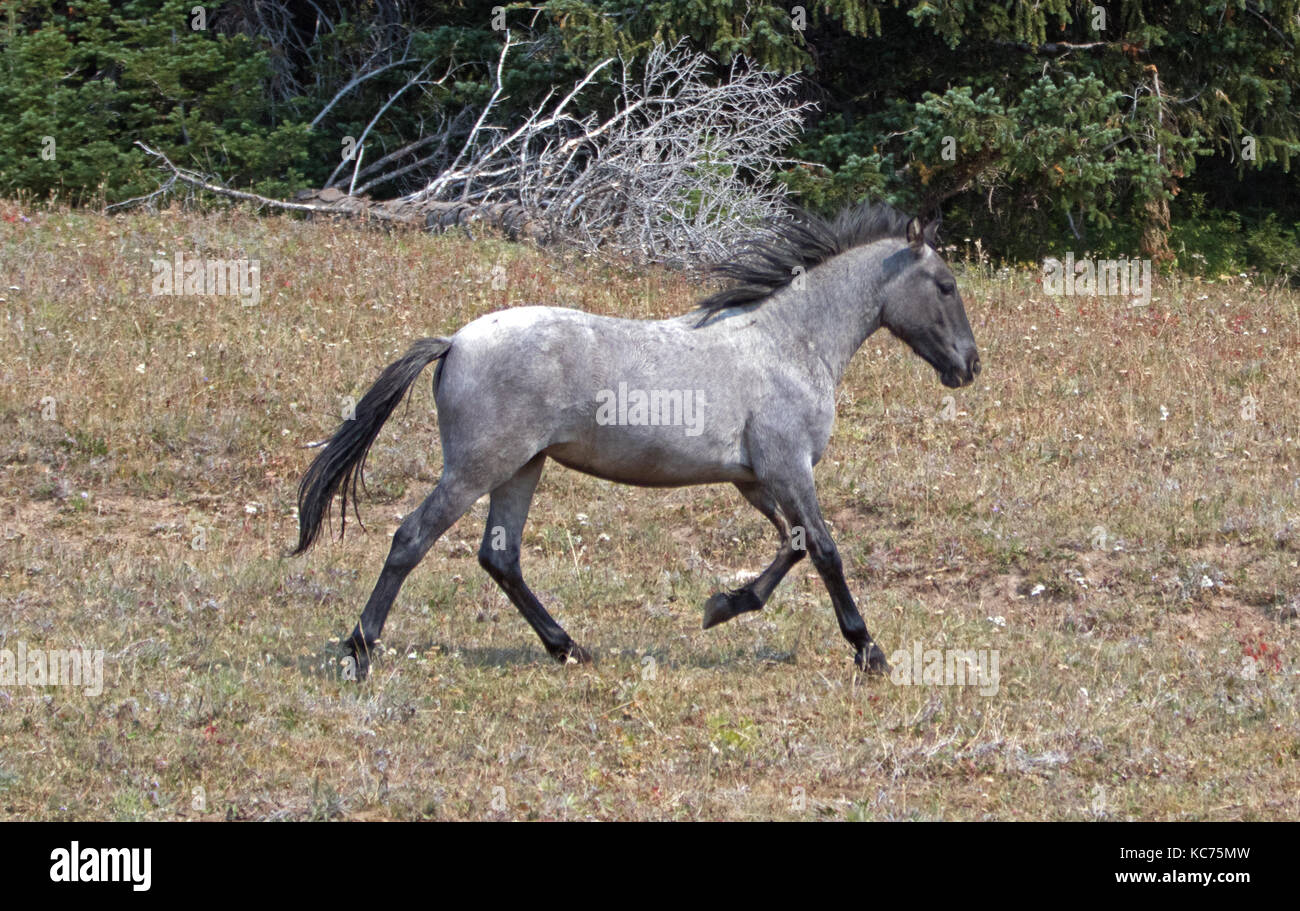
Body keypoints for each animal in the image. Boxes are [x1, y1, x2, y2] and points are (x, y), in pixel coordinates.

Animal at [293, 201, 980, 679]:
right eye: (946, 285)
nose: (969, 366)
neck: (787, 343)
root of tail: (455, 342)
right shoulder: (789, 468)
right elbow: (826, 550)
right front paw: (869, 651)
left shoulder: (756, 478)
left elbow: (792, 545)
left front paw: (723, 606)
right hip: (476, 469)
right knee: (411, 538)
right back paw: (359, 652)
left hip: (522, 468)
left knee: (500, 558)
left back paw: (568, 647)